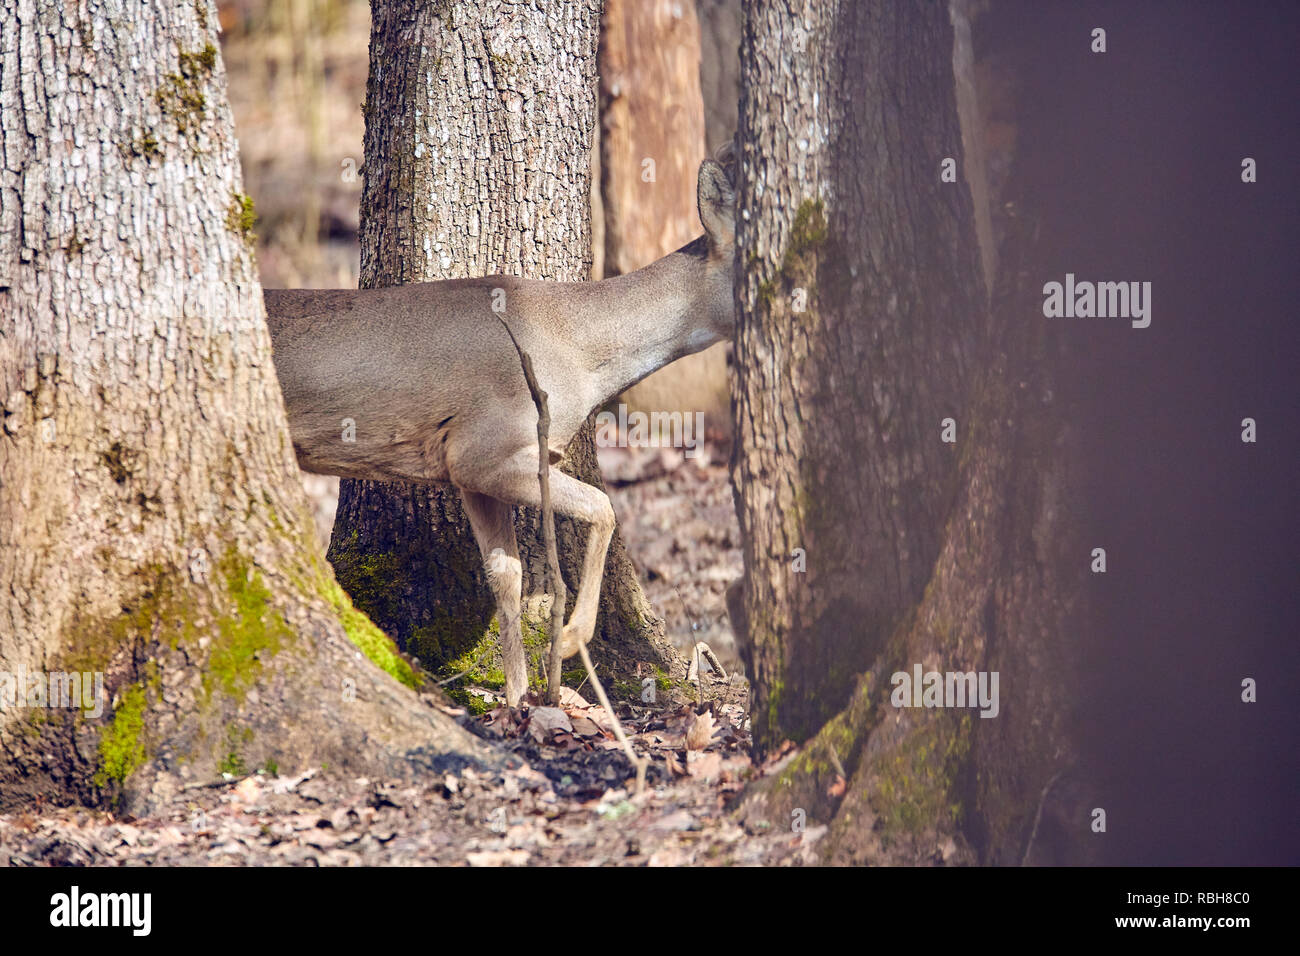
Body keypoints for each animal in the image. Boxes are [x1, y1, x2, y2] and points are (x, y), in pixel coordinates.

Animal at [263, 155, 736, 708]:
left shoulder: (465, 471)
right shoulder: (486, 449)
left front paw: (517, 700)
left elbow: (505, 572)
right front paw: (569, 638)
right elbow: (604, 505)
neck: (580, 348)